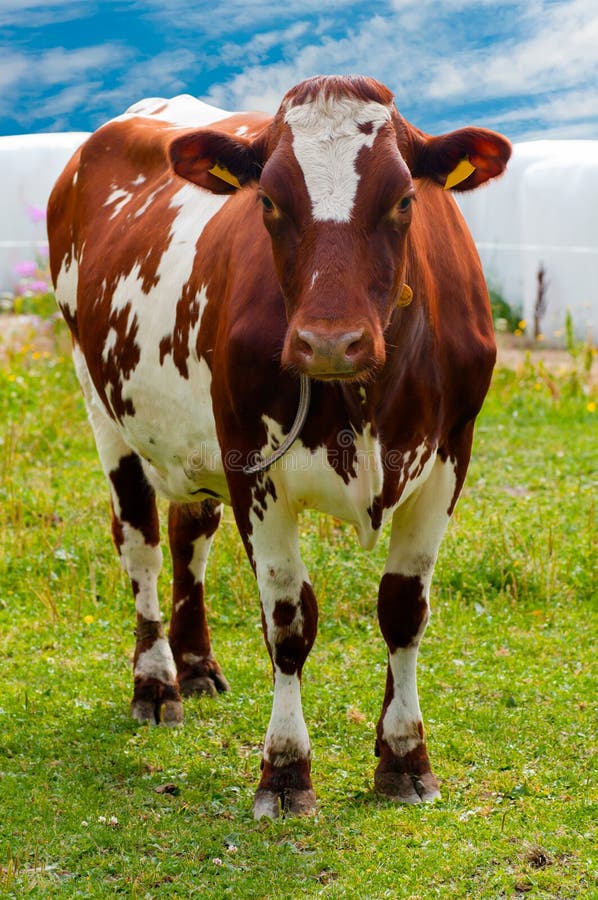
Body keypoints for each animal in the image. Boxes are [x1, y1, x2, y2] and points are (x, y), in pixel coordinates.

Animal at [47, 75, 510, 819]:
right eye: (267, 201)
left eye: (404, 200)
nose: (330, 342)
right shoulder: (251, 465)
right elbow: (289, 621)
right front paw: (287, 771)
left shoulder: (449, 459)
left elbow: (404, 611)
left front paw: (405, 757)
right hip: (102, 404)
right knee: (141, 543)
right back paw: (158, 683)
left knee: (189, 532)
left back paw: (197, 665)